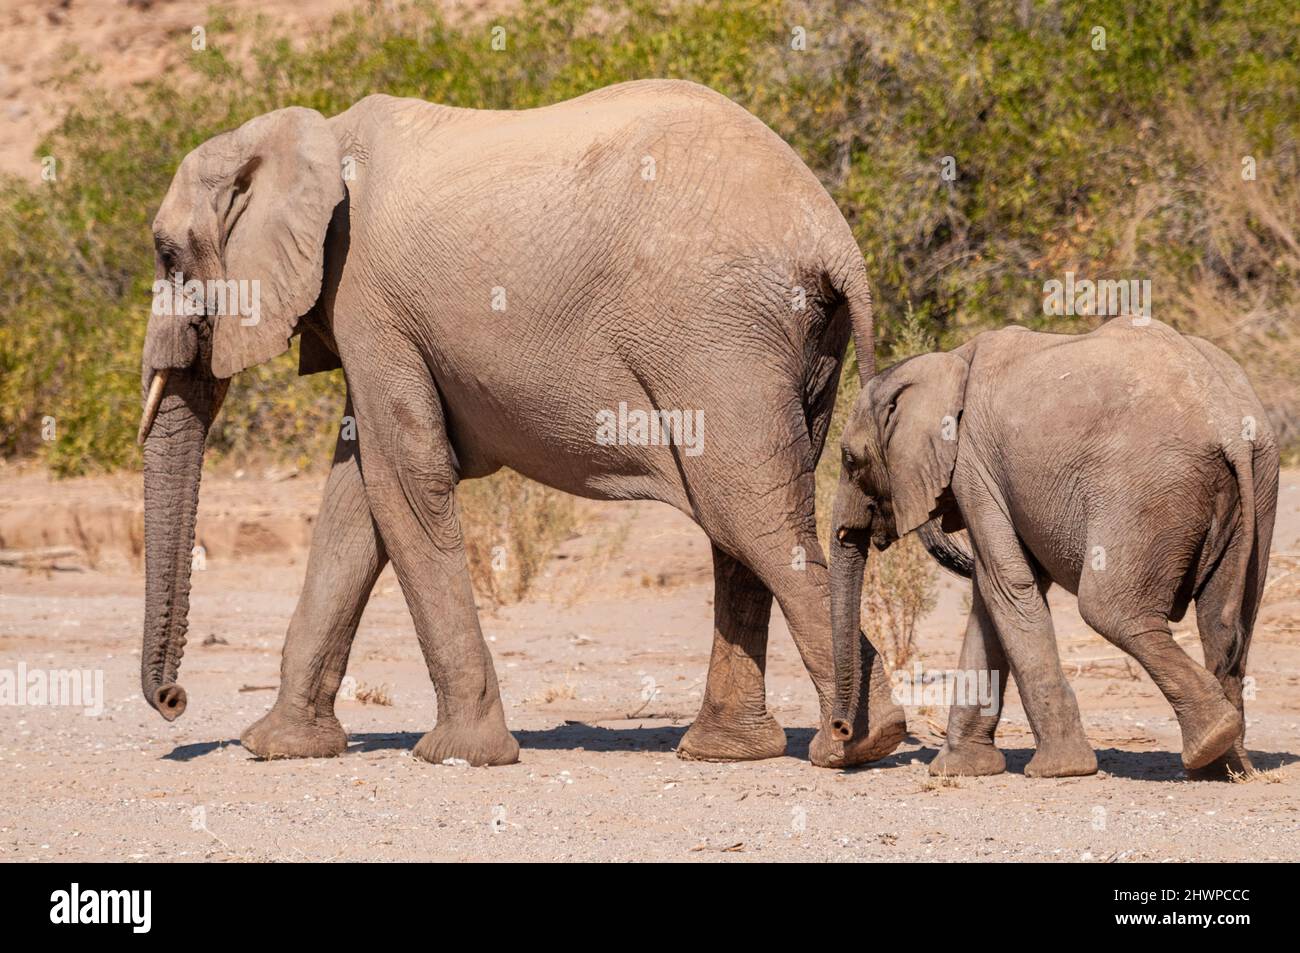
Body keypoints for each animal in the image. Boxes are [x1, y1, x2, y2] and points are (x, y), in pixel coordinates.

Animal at [137, 79, 913, 768]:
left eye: (168, 256)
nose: (174, 700)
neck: (312, 132)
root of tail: (832, 237)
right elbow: (355, 497)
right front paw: (277, 748)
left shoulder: (367, 295)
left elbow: (404, 480)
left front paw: (459, 756)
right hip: (792, 347)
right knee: (744, 523)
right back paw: (731, 751)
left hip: (717, 339)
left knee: (749, 515)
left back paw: (856, 744)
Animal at [827, 317, 1279, 779]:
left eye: (850, 460)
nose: (841, 731)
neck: (947, 361)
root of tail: (1227, 425)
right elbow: (990, 600)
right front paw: (959, 769)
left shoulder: (973, 463)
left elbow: (1007, 585)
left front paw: (1060, 770)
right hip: (1259, 482)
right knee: (1224, 622)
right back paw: (1224, 768)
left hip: (1149, 488)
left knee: (1111, 611)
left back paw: (1211, 740)